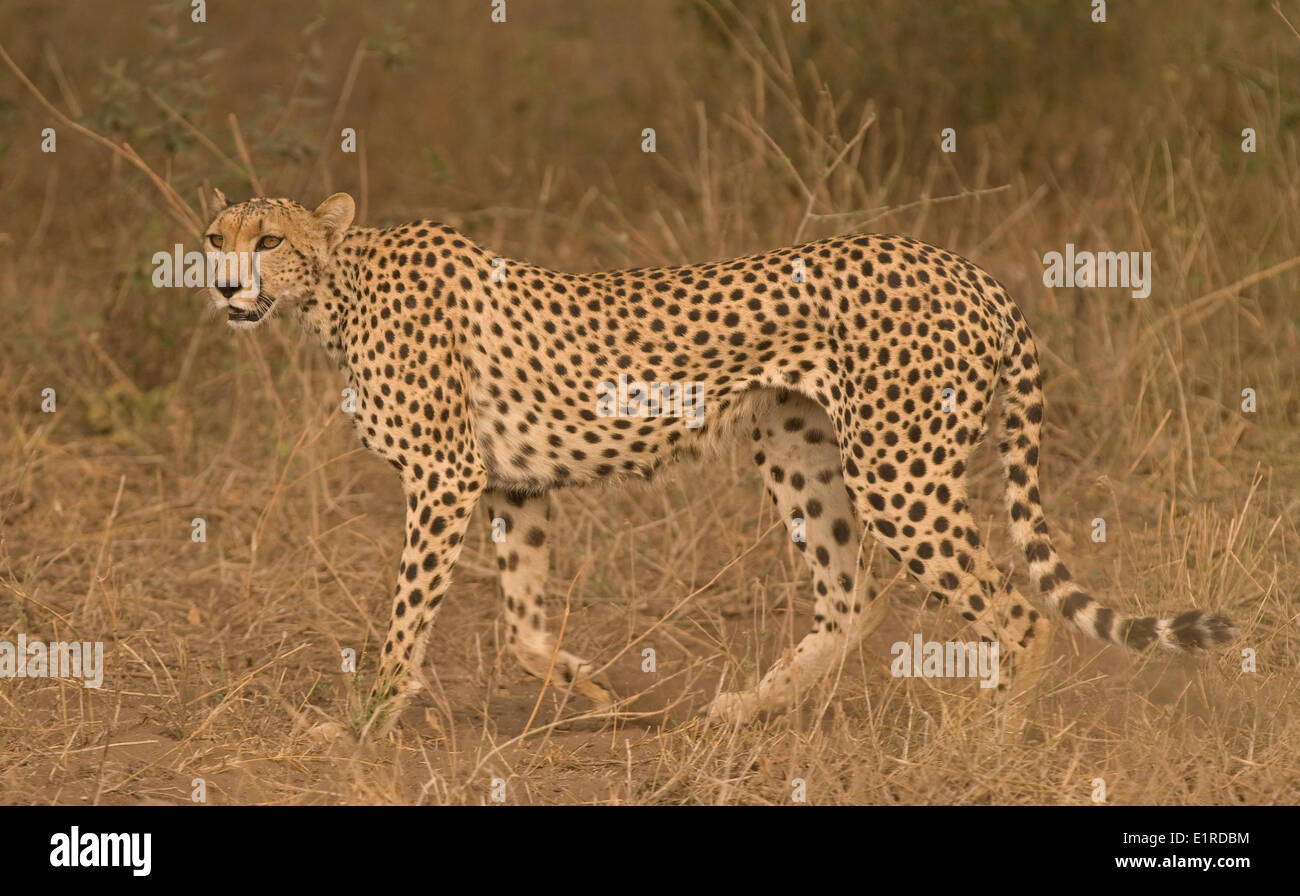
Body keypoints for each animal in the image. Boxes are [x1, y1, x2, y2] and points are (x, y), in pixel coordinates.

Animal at [202, 188, 1237, 731]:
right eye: (218, 237)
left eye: (270, 240)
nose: (220, 285)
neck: (334, 289)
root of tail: (968, 270)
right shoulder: (514, 484)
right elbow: (524, 626)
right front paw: (597, 694)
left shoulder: (446, 476)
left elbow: (408, 613)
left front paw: (368, 712)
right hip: (800, 449)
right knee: (854, 593)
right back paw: (745, 707)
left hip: (897, 470)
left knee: (1017, 611)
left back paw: (990, 736)